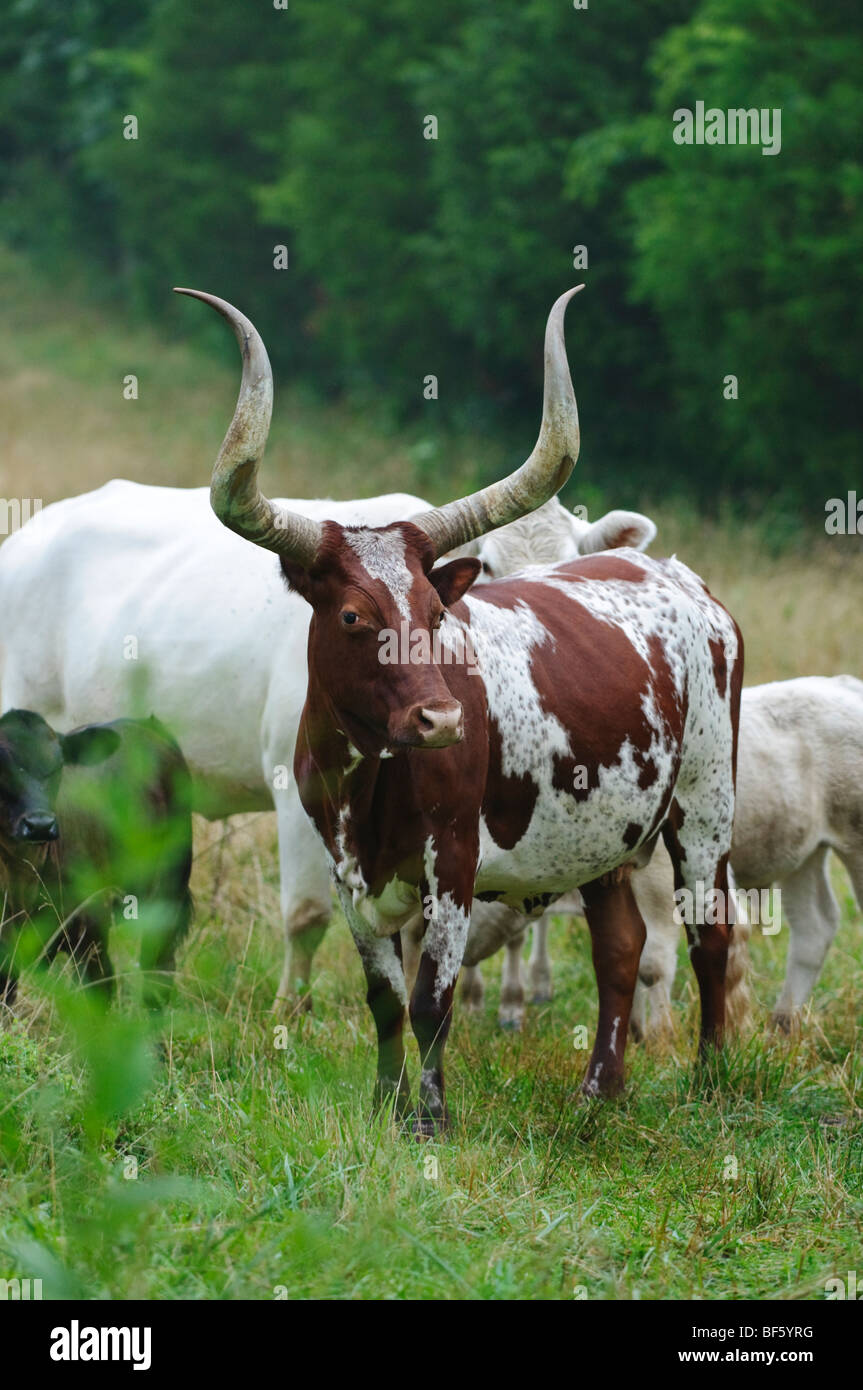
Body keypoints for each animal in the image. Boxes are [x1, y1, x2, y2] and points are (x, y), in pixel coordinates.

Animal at [176, 284, 743, 1133]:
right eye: (353, 616)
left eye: (436, 612)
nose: (441, 721)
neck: (371, 779)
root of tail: (677, 576)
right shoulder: (346, 871)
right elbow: (383, 1000)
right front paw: (385, 1109)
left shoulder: (452, 863)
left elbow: (429, 1001)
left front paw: (430, 1121)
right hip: (603, 831)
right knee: (619, 944)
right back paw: (598, 1091)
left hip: (705, 803)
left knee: (710, 935)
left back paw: (708, 1081)